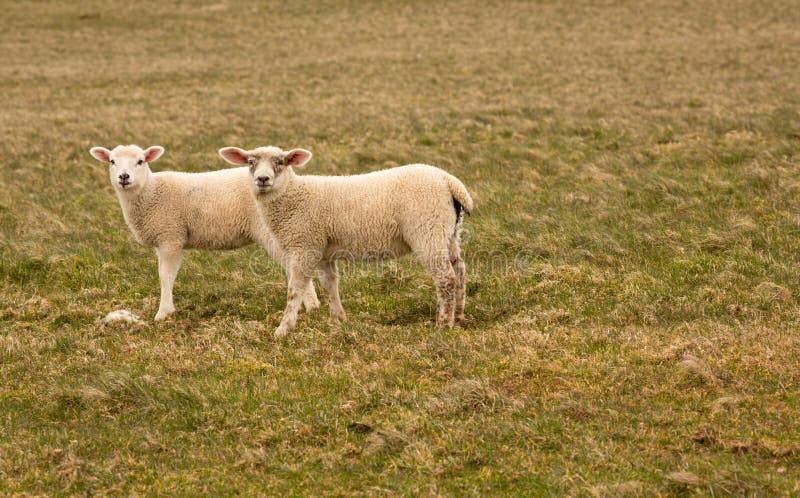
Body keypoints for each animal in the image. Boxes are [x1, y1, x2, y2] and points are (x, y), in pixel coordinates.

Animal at [88, 144, 319, 321]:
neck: (150, 191)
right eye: (112, 161)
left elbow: (166, 275)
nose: (124, 177)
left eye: (140, 161)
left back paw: (312, 307)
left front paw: (163, 313)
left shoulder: (171, 236)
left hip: (277, 232)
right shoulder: (164, 239)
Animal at [217, 145, 473, 338]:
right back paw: (459, 316)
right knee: (459, 269)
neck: (293, 196)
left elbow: (295, 289)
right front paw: (338, 320)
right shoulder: (321, 248)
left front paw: (283, 330)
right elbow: (330, 284)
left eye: (280, 162)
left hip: (427, 230)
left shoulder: (304, 244)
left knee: (445, 278)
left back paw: (443, 324)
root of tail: (449, 182)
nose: (262, 179)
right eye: (250, 162)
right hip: (449, 231)